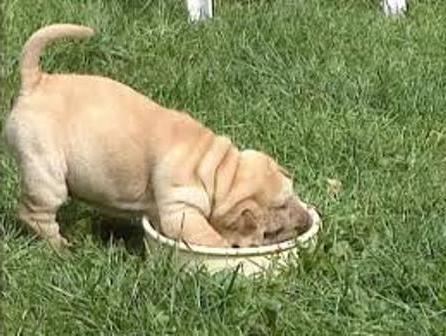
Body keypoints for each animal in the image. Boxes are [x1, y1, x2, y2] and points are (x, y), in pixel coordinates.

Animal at [4, 24, 318, 249]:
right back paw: (61, 247)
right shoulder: (181, 210)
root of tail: (36, 81)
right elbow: (207, 236)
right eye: (274, 226)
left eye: (291, 194)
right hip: (46, 174)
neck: (221, 173)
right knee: (35, 214)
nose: (305, 220)